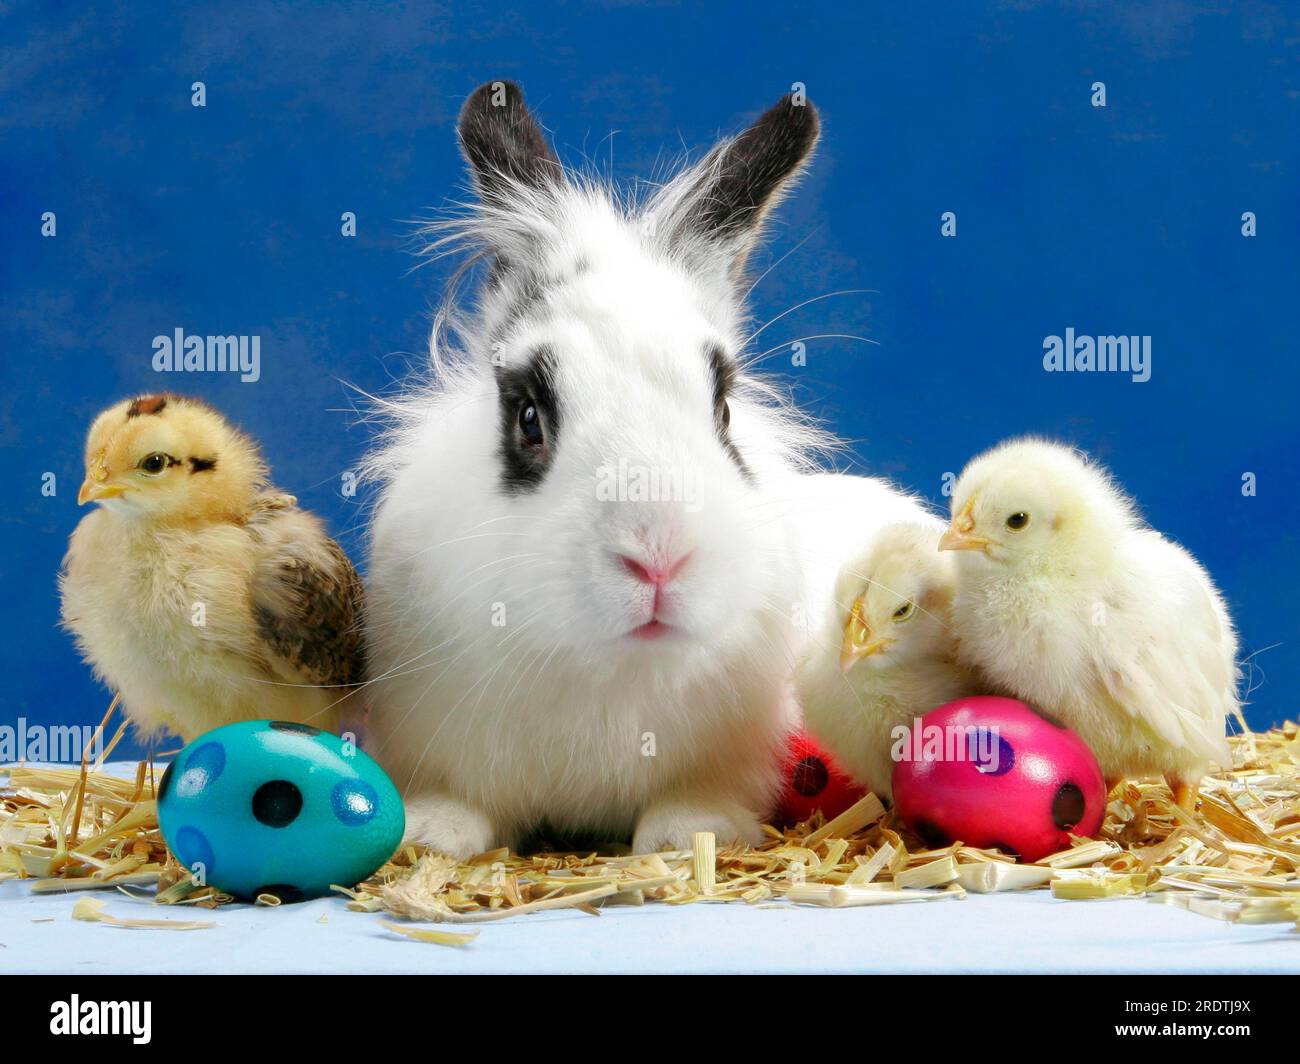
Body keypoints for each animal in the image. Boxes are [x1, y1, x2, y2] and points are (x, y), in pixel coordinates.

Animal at [363, 80, 920, 858]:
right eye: (527, 416)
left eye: (723, 409)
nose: (658, 559)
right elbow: (459, 804)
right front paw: (432, 831)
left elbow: (690, 807)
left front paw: (689, 834)